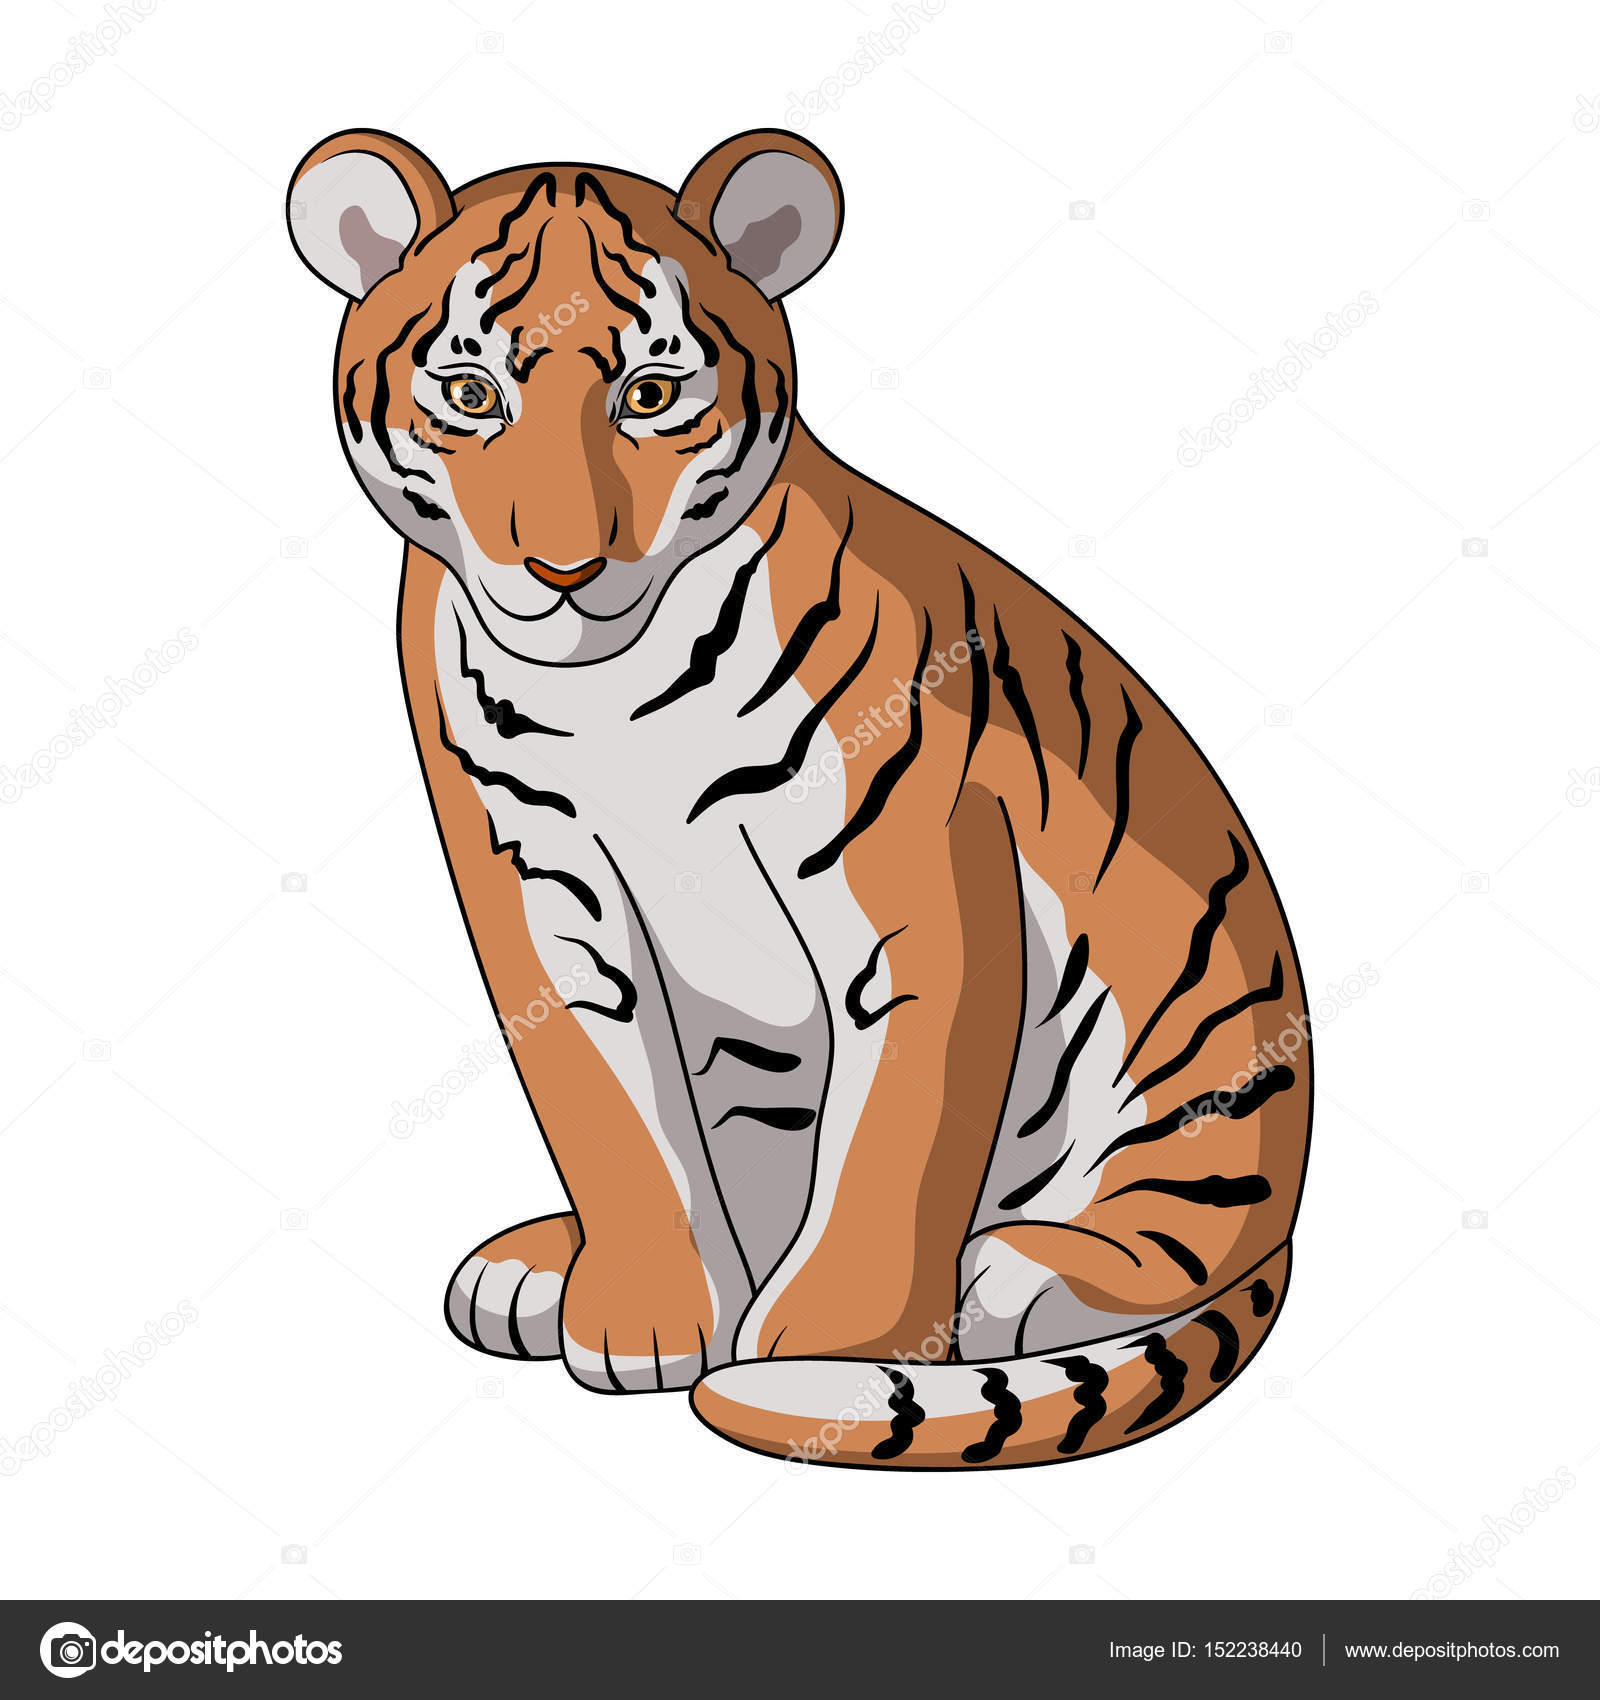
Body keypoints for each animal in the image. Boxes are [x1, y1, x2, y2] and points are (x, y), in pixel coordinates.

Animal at [286, 127, 1311, 1469]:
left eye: (649, 397)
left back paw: (1009, 1278)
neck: (606, 688)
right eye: (470, 397)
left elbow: (895, 1138)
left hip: (1198, 1067)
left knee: (1169, 1242)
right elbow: (609, 1109)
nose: (562, 567)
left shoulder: (916, 876)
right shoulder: (532, 878)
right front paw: (641, 1315)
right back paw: (539, 1267)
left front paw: (824, 1349)